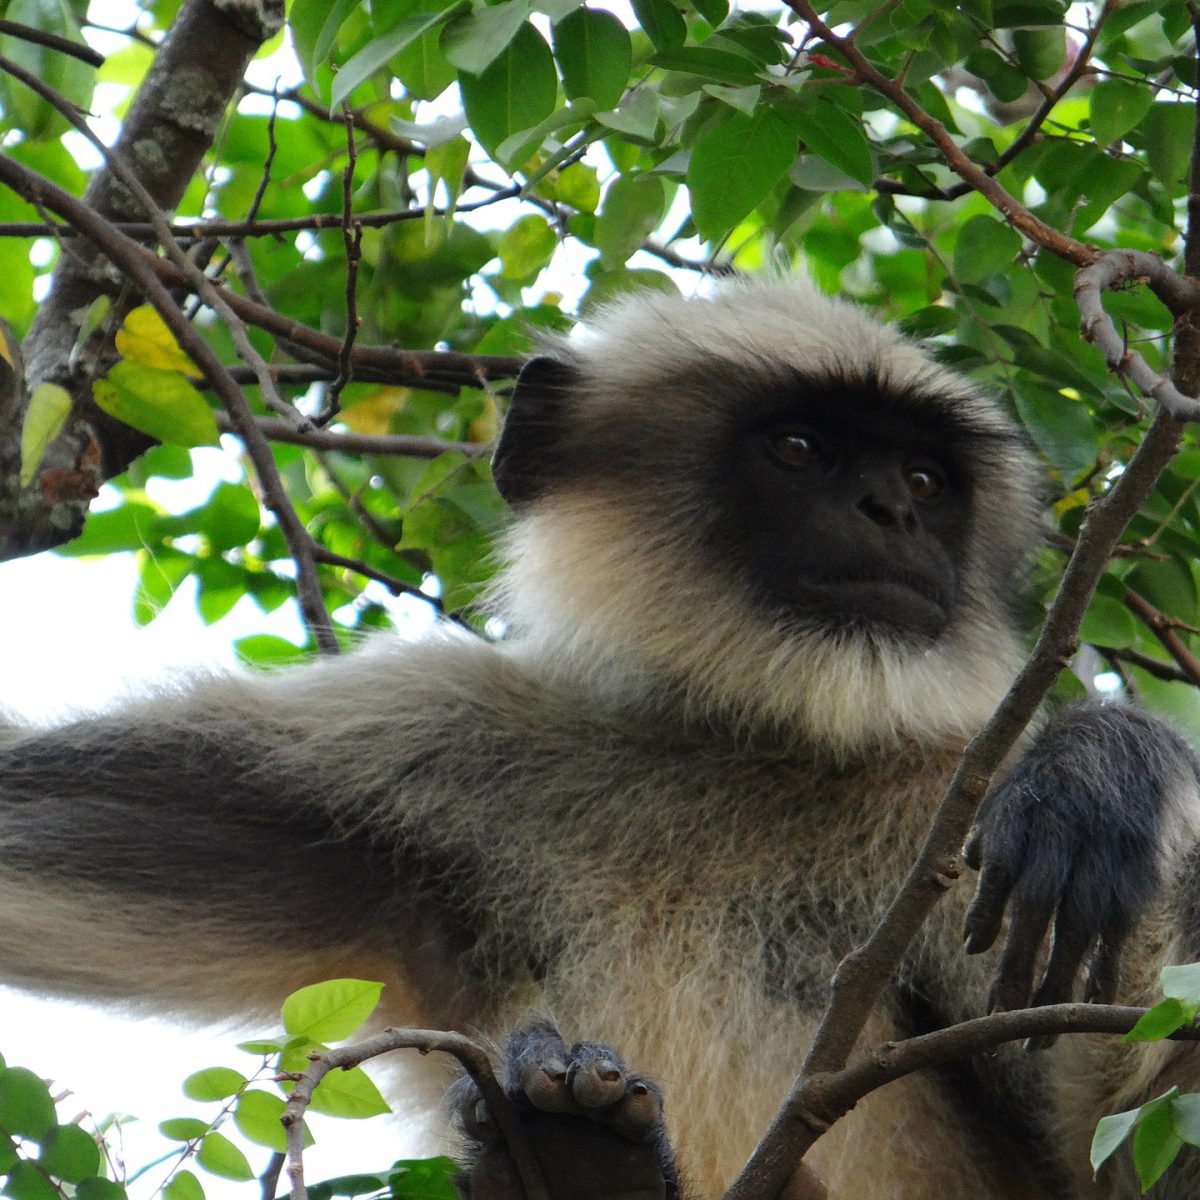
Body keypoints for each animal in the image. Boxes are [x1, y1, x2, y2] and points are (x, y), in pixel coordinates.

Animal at [0, 278, 1199, 1200]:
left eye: (922, 479)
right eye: (800, 446)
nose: (891, 514)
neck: (746, 746)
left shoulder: (941, 792)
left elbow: (1109, 1159)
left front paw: (1100, 773)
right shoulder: (425, 748)